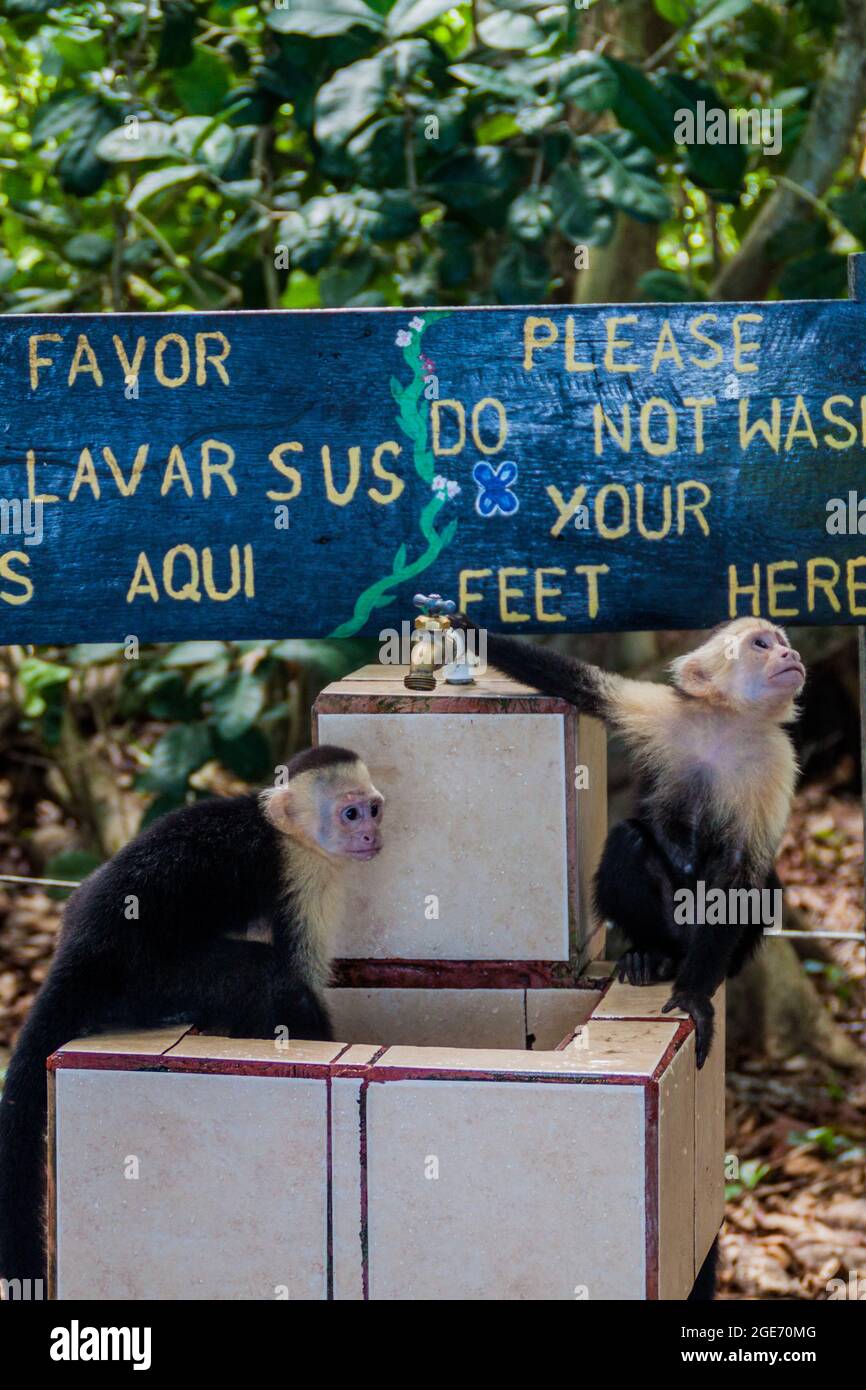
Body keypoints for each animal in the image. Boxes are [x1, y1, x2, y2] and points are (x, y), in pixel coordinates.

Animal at [0, 744, 383, 1288]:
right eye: (350, 814)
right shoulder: (302, 872)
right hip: (153, 981)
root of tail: (81, 955)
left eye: (373, 809)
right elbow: (300, 979)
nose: (371, 835)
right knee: (263, 976)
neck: (282, 827)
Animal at [449, 613, 804, 1070]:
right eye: (762, 644)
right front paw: (470, 629)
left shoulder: (777, 761)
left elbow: (741, 873)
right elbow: (583, 685)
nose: (791, 654)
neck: (728, 724)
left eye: (780, 642)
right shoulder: (665, 714)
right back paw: (650, 955)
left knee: (764, 883)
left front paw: (693, 997)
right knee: (629, 839)